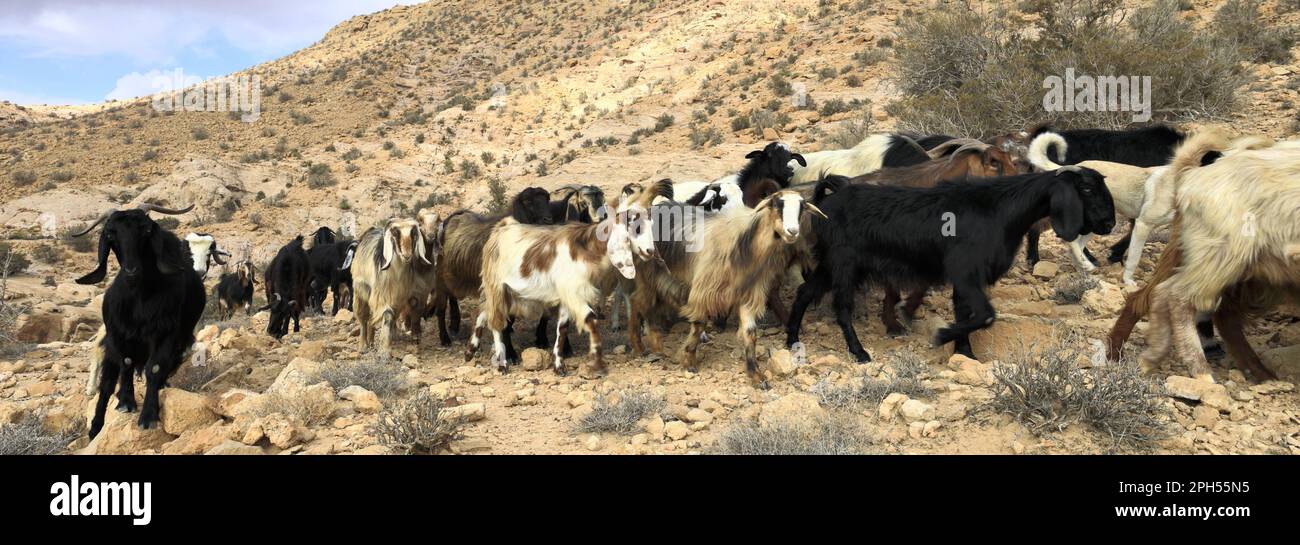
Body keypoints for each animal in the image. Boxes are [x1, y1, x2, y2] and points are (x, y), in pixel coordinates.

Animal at [73, 203, 203, 438]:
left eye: (146, 231)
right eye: (110, 233)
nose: (131, 270)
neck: (140, 299)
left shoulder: (166, 335)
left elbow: (155, 368)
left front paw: (149, 416)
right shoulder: (119, 335)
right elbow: (126, 364)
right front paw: (125, 402)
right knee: (106, 385)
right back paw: (95, 427)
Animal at [351, 217, 436, 357]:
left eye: (413, 233)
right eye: (396, 233)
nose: (407, 255)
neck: (396, 273)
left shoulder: (399, 298)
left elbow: (393, 317)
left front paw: (391, 339)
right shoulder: (382, 296)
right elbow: (387, 315)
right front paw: (384, 351)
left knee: (371, 319)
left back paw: (372, 341)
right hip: (361, 291)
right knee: (363, 318)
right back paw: (363, 346)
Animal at [468, 181, 668, 376]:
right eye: (636, 228)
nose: (649, 251)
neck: (587, 250)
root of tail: (501, 228)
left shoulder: (566, 295)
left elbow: (562, 329)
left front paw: (559, 366)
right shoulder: (573, 293)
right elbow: (590, 320)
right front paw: (597, 363)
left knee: (485, 313)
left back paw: (471, 350)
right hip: (497, 286)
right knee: (496, 322)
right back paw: (502, 363)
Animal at [787, 167, 1115, 361]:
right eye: (1086, 189)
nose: (1109, 222)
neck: (999, 209)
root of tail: (825, 202)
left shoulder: (967, 279)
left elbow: (966, 312)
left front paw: (965, 352)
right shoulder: (966, 272)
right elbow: (985, 314)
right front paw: (942, 336)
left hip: (829, 265)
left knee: (804, 293)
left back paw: (791, 339)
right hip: (845, 265)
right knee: (842, 308)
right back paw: (859, 352)